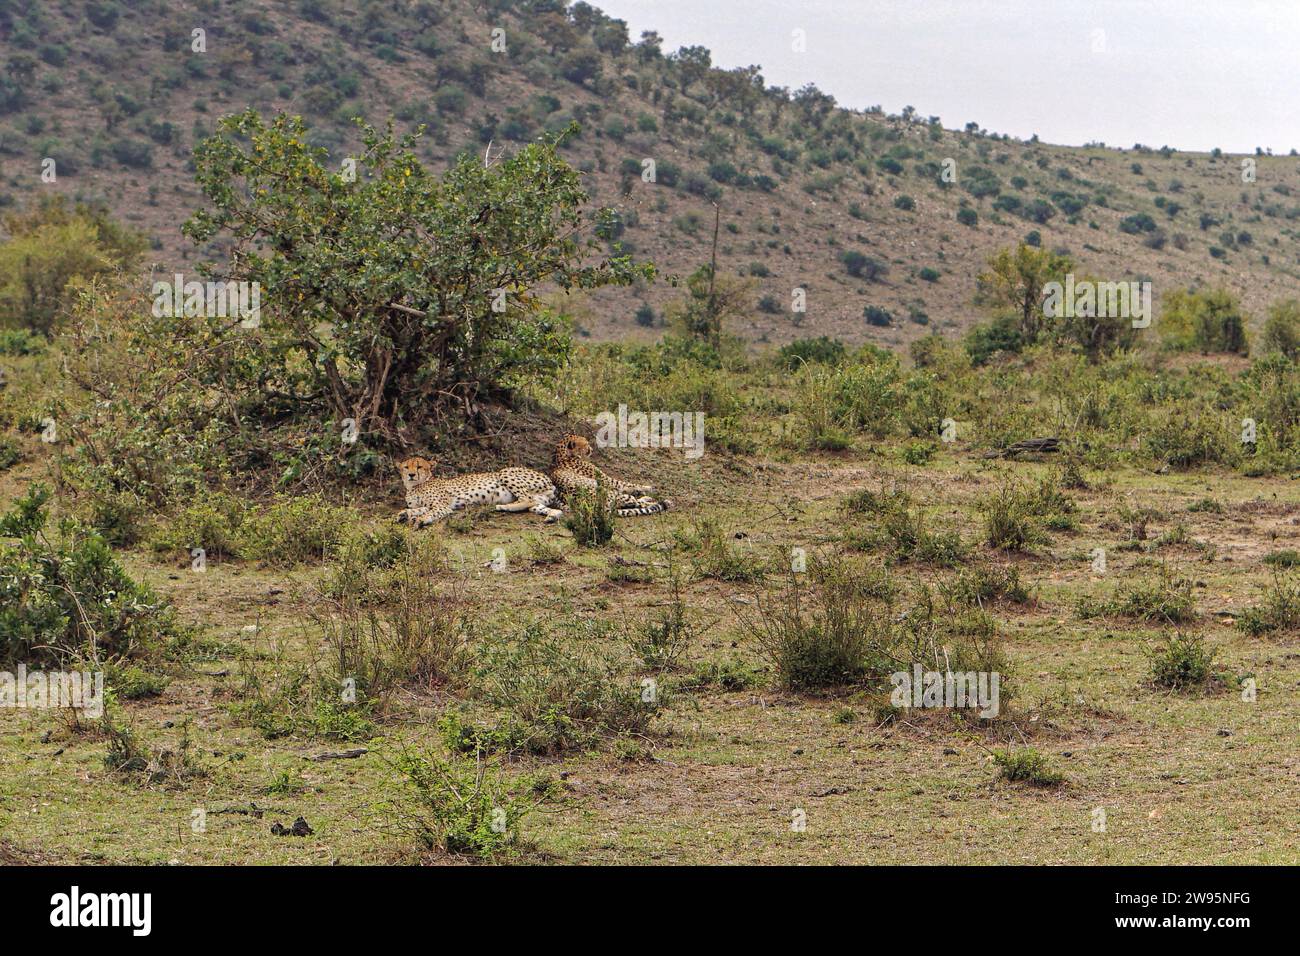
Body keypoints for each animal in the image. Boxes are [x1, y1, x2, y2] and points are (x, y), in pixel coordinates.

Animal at [395, 456, 562, 526]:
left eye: (419, 467)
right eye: (406, 467)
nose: (411, 475)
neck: (415, 486)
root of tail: (550, 481)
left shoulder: (442, 506)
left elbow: (429, 513)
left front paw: (421, 520)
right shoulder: (425, 505)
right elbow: (415, 509)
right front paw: (403, 514)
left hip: (505, 472)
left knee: (526, 498)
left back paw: (503, 506)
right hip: (538, 501)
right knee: (544, 506)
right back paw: (552, 516)